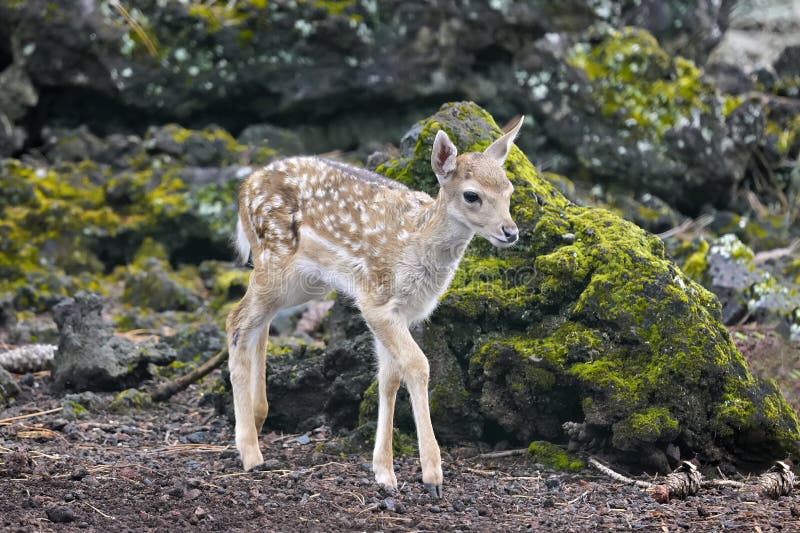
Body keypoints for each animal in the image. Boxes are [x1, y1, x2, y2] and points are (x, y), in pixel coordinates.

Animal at [226, 116, 524, 498]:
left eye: (509, 190)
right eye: (472, 195)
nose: (510, 231)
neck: (417, 246)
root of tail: (244, 188)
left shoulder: (404, 314)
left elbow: (389, 377)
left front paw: (384, 471)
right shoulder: (375, 302)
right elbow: (418, 365)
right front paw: (432, 475)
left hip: (302, 281)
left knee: (258, 322)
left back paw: (259, 415)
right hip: (274, 259)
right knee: (236, 320)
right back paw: (250, 452)